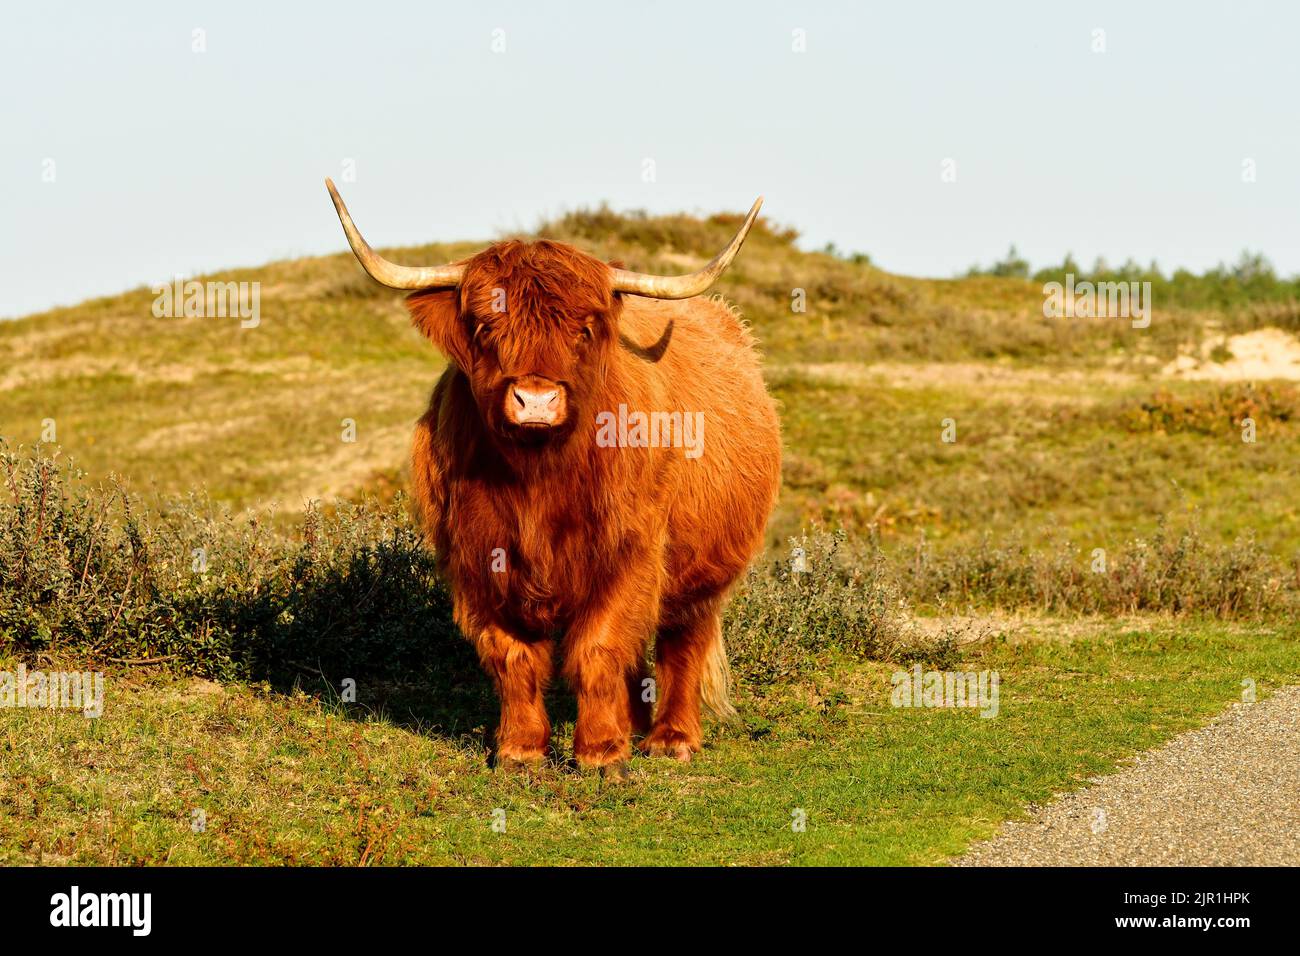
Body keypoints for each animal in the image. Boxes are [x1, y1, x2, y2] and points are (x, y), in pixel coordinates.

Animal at [325, 180, 781, 779]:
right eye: (485, 327)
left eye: (582, 329)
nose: (536, 400)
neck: (537, 478)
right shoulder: (480, 558)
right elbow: (513, 654)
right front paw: (520, 751)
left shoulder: (628, 550)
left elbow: (598, 647)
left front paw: (600, 754)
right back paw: (635, 726)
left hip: (708, 565)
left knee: (683, 639)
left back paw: (672, 738)